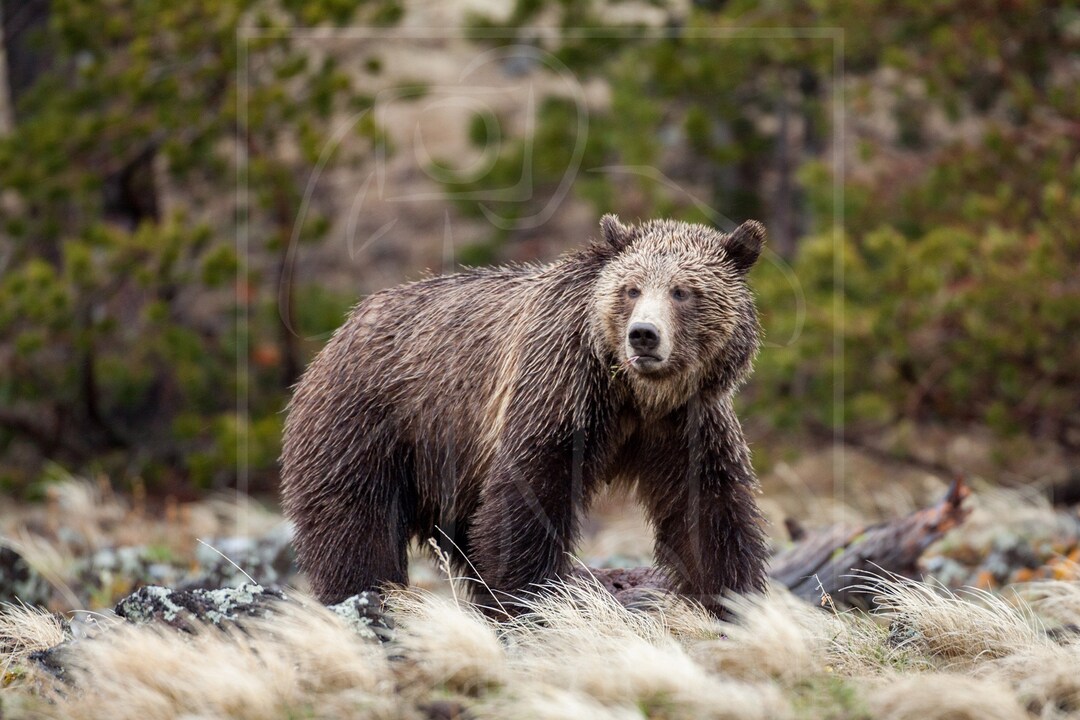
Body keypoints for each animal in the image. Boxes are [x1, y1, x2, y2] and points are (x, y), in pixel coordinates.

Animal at [280, 215, 770, 617]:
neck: (637, 395)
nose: (643, 335)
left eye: (683, 291)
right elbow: (529, 494)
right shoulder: (559, 389)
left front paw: (731, 600)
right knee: (355, 525)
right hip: (371, 423)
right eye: (631, 289)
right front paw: (528, 600)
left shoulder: (686, 424)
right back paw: (364, 594)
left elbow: (706, 508)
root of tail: (339, 332)